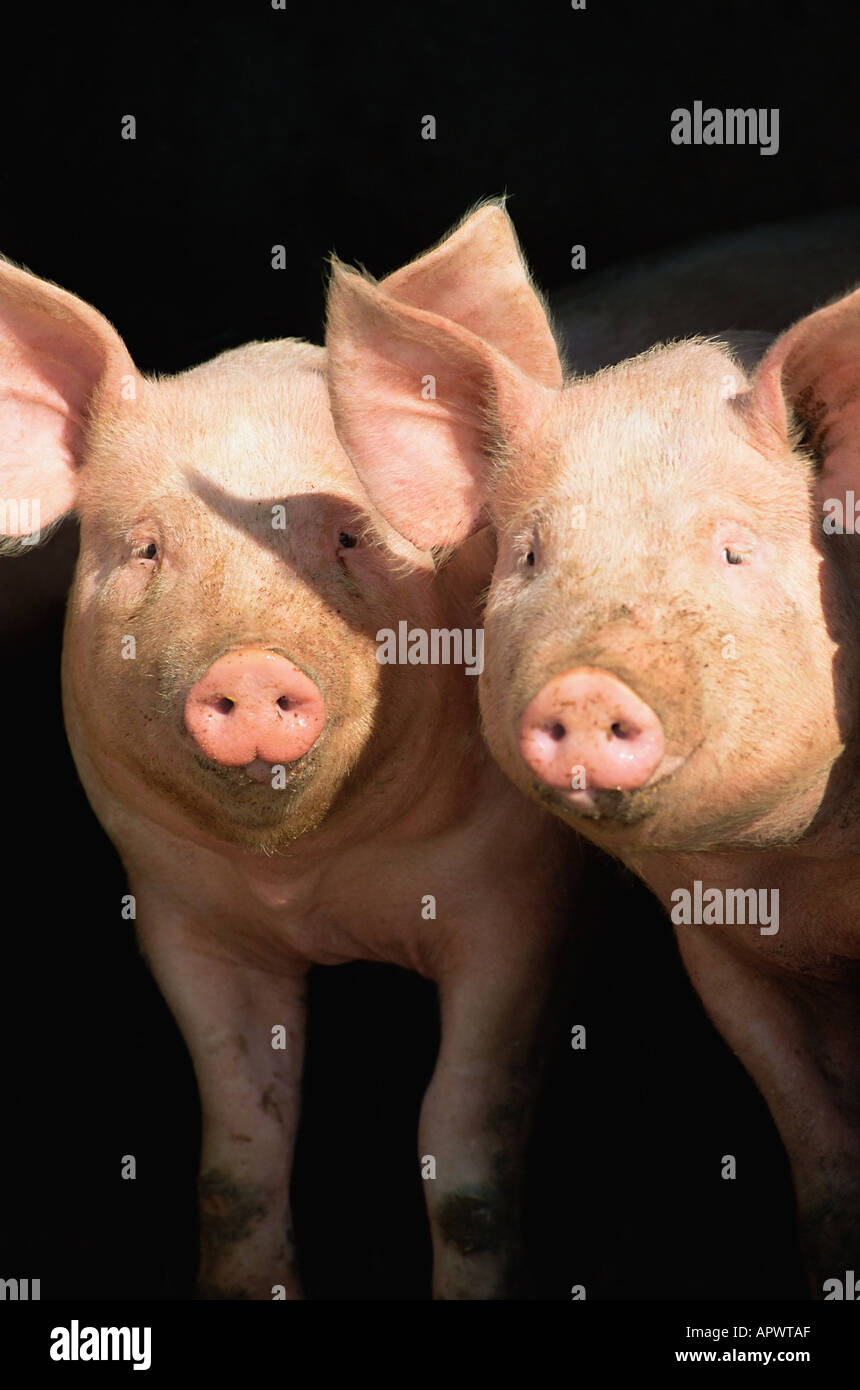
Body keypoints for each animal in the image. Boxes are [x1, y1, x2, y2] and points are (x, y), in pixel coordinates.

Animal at [0, 244, 578, 1300]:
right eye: (147, 547)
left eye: (350, 538)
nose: (251, 669)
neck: (307, 884)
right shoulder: (184, 918)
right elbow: (238, 1163)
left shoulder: (520, 899)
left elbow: (464, 1155)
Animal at [325, 201, 860, 1295]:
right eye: (530, 554)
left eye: (732, 549)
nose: (585, 686)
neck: (795, 877)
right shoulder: (720, 952)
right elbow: (821, 1159)